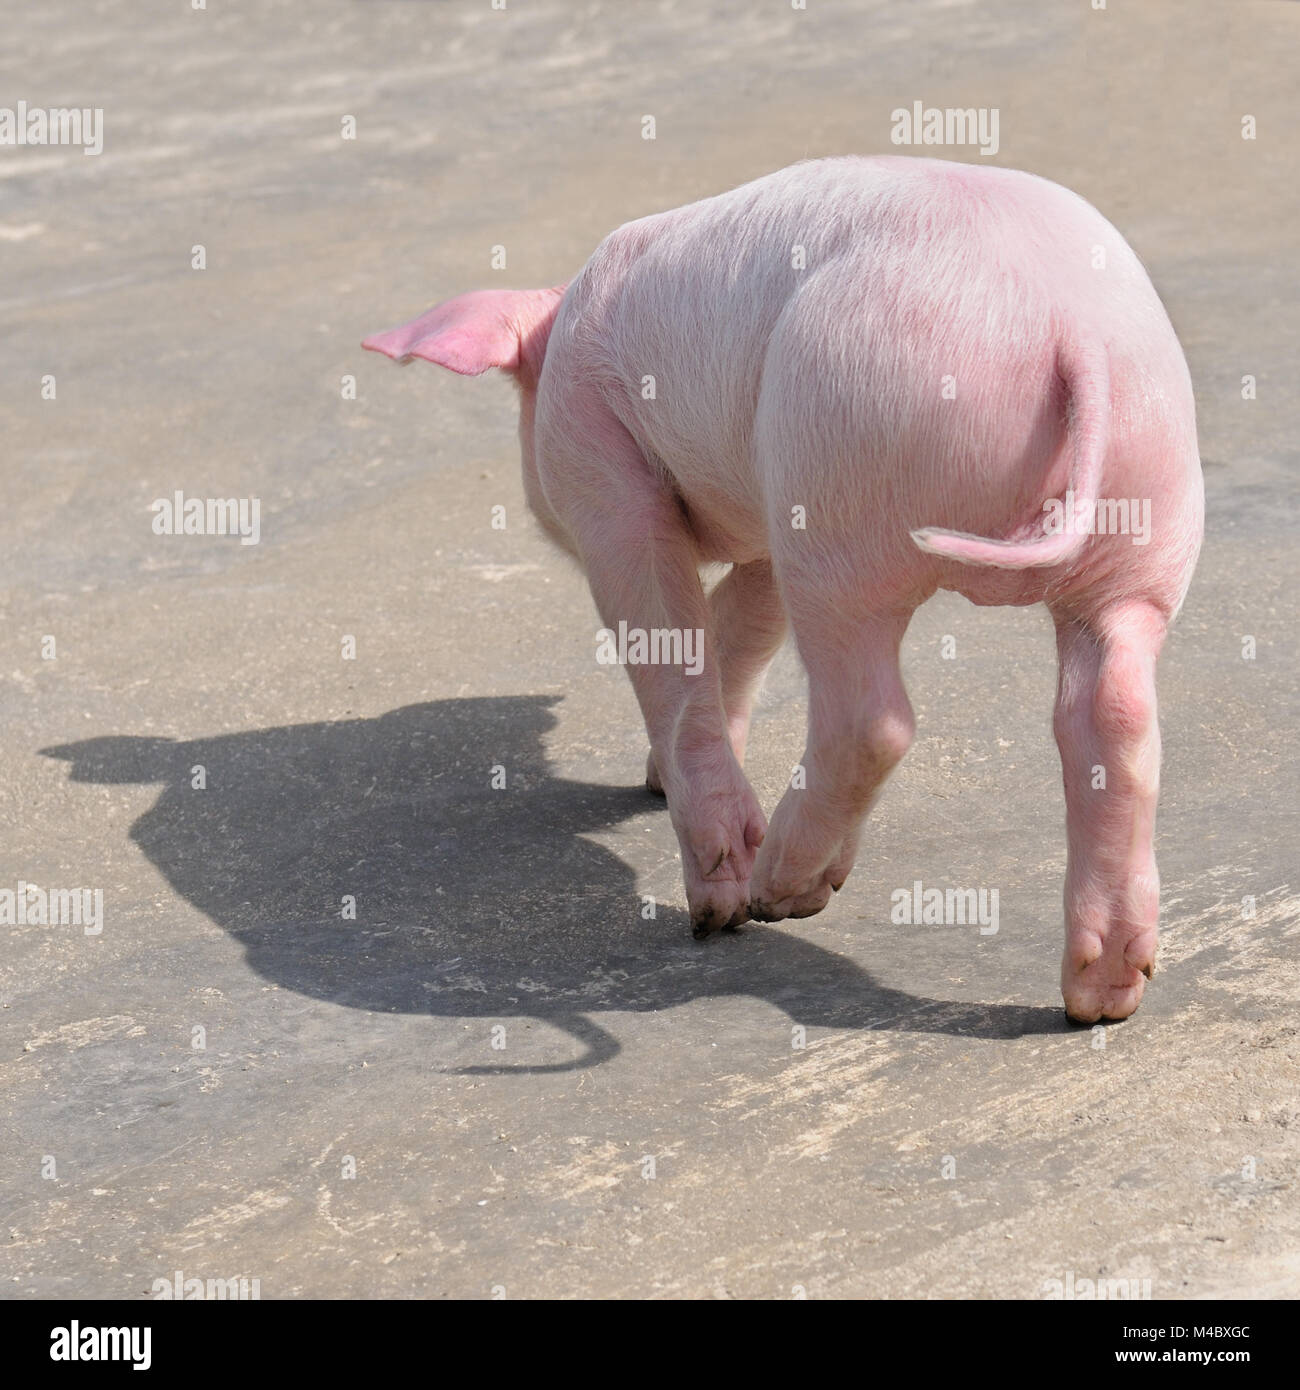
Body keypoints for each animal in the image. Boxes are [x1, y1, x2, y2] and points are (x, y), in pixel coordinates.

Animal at [363, 155, 1203, 1024]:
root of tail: (1070, 329)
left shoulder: (602, 466)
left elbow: (666, 632)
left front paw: (714, 906)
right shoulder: (765, 528)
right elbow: (738, 625)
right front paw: (653, 782)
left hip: (838, 475)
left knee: (875, 718)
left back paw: (776, 894)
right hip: (1146, 516)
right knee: (1113, 712)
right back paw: (1101, 998)